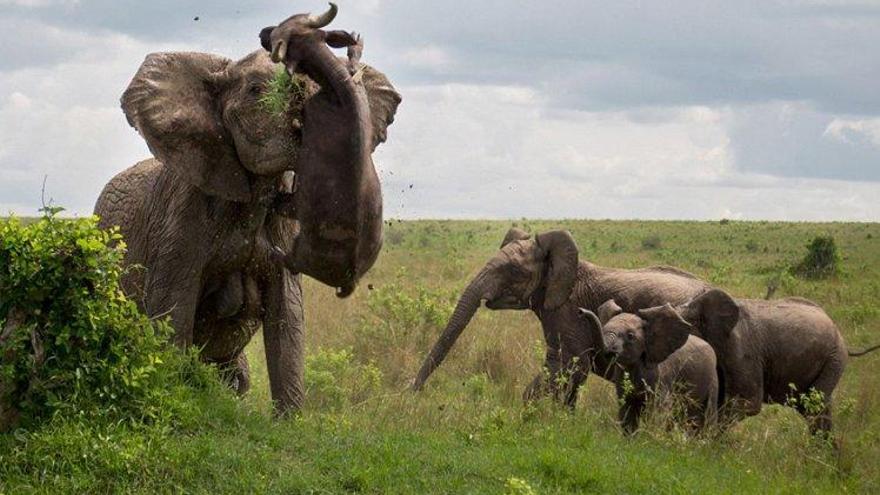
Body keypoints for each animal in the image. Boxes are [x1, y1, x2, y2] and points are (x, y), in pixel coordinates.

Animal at [93, 4, 401, 413]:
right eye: (256, 91)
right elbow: (171, 309)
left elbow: (288, 317)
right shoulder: (181, 216)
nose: (270, 33)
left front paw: (290, 421)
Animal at [577, 302, 718, 433]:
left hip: (712, 380)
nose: (581, 311)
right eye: (604, 327)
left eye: (630, 336)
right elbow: (627, 409)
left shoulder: (661, 375)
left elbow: (660, 408)